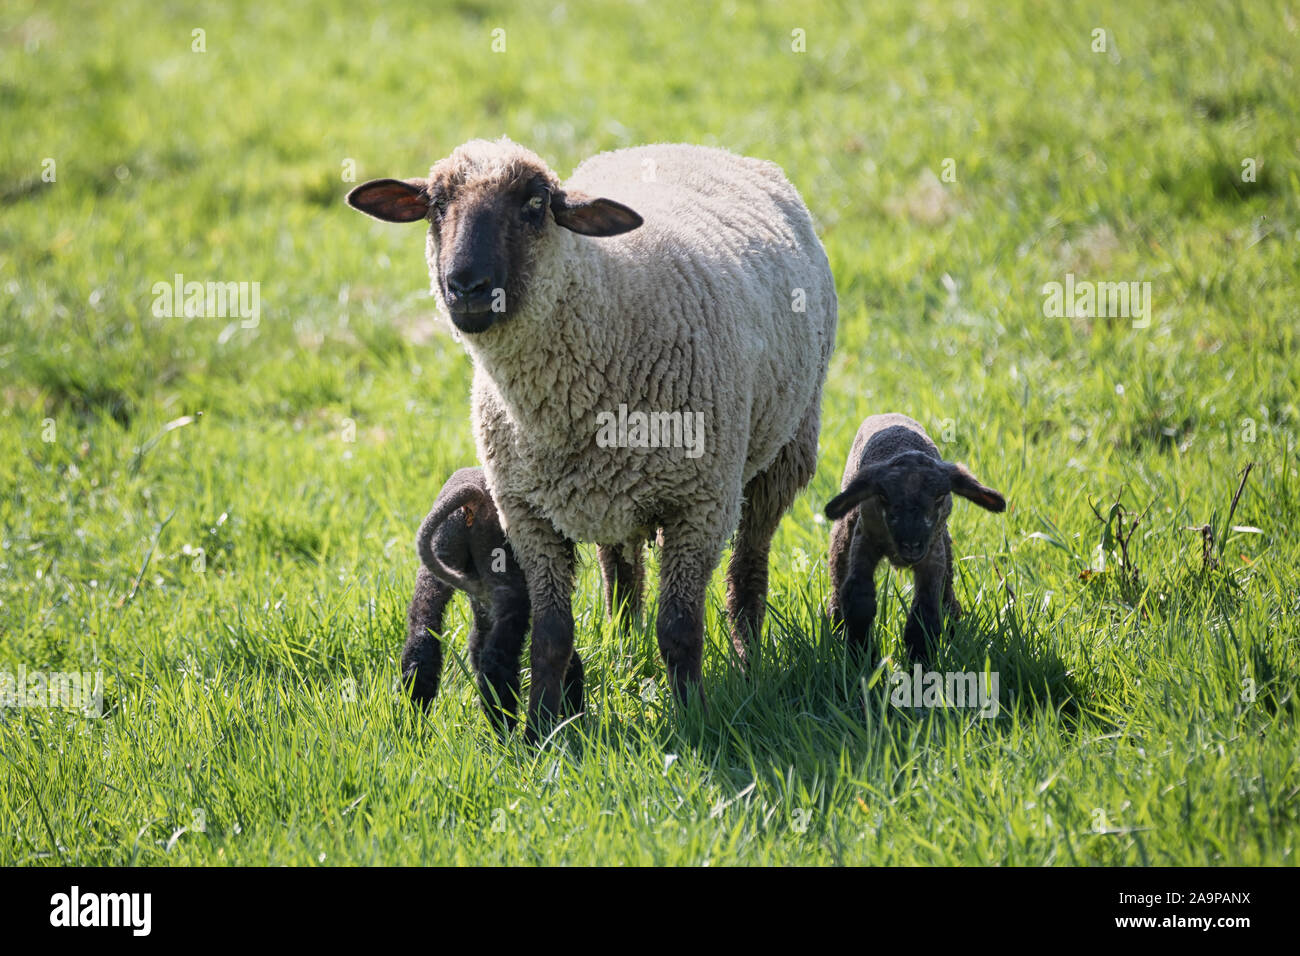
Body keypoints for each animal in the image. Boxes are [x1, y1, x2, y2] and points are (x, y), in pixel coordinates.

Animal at [404, 466, 583, 734]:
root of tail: (473, 498)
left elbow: (476, 643)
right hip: (506, 573)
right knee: (497, 658)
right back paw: (504, 729)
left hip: (440, 555)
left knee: (423, 633)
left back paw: (414, 717)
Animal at [823, 414, 1006, 660]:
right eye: (883, 496)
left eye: (940, 496)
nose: (911, 546)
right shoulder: (865, 539)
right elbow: (858, 598)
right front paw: (861, 656)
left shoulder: (932, 554)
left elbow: (925, 612)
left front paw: (919, 662)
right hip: (847, 531)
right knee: (838, 574)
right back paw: (836, 623)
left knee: (946, 591)